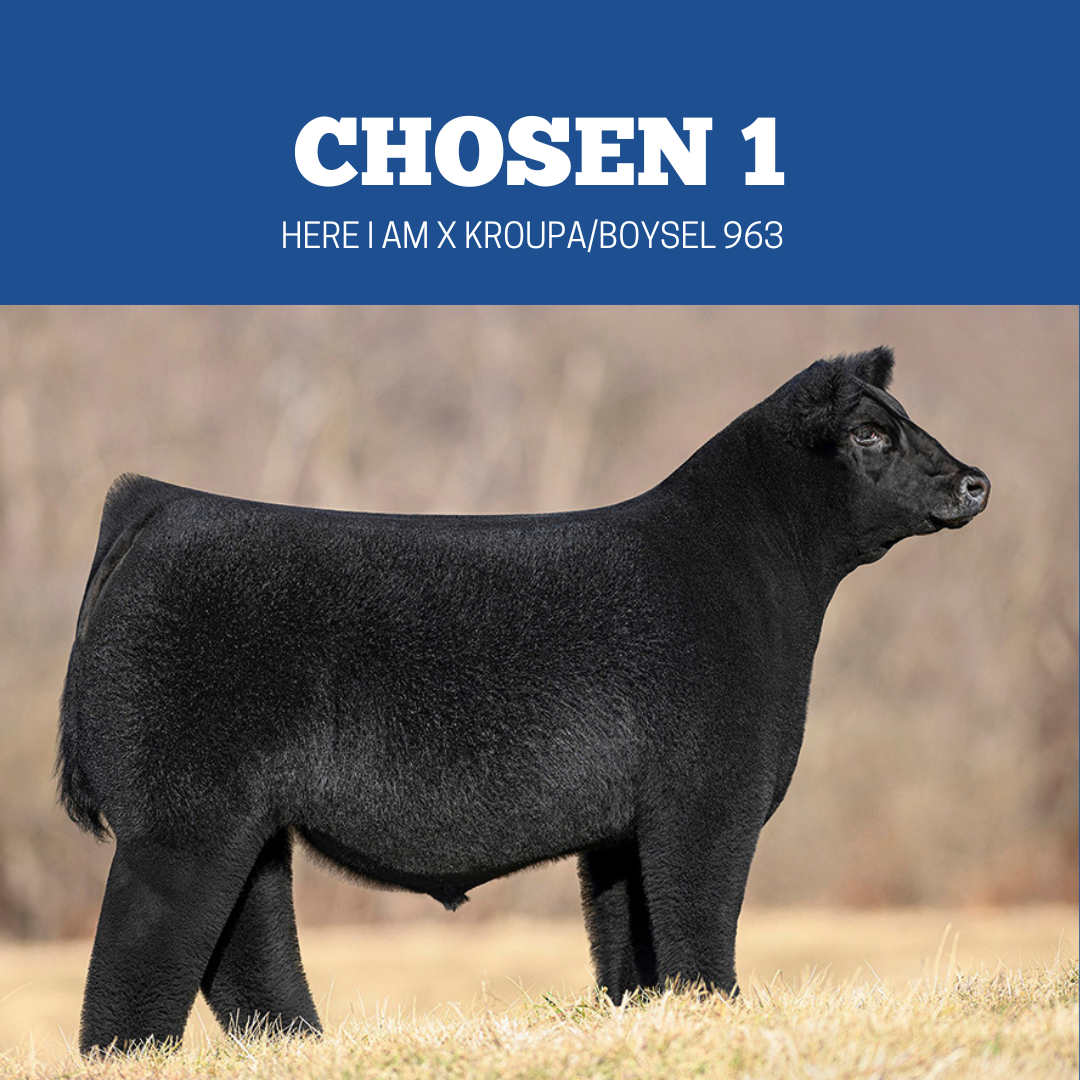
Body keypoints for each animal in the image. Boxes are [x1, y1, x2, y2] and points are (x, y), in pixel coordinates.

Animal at [58, 348, 989, 1054]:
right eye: (870, 434)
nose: (975, 481)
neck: (752, 571)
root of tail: (157, 501)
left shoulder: (621, 831)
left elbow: (630, 954)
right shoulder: (708, 800)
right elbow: (699, 934)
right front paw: (720, 1023)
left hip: (243, 824)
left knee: (247, 956)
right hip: (181, 819)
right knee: (134, 969)